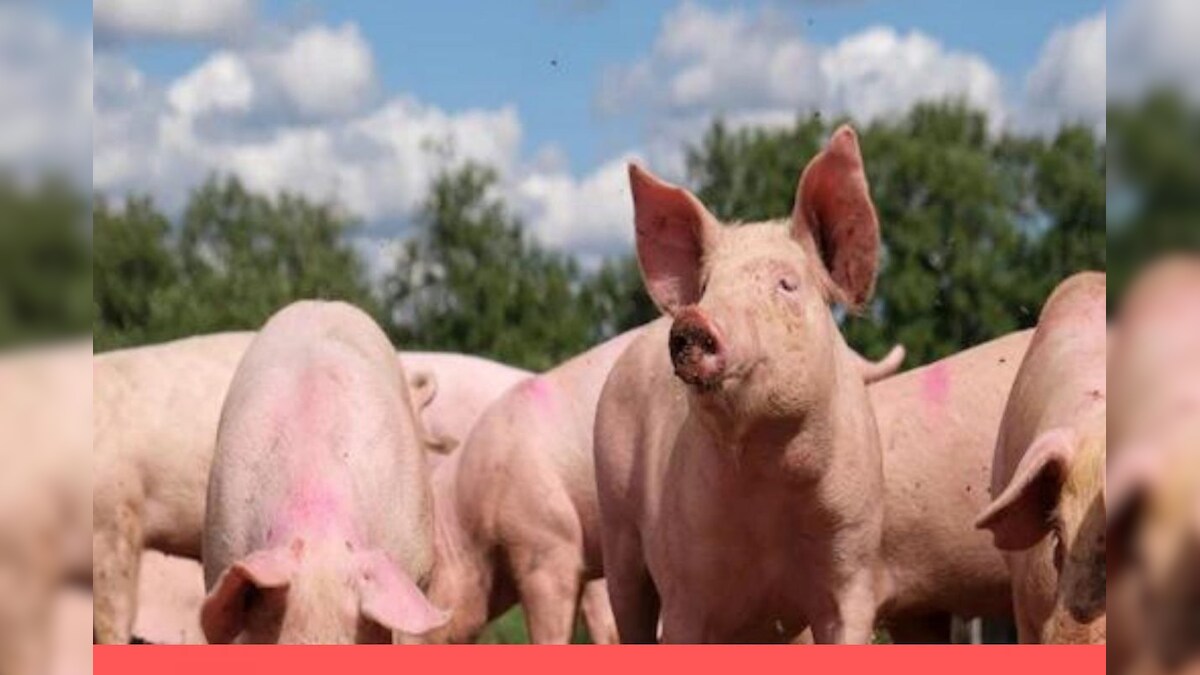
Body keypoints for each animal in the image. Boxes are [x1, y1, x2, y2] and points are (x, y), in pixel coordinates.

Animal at [594, 126, 887, 643]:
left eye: (786, 284)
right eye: (706, 287)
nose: (692, 321)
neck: (770, 479)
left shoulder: (853, 568)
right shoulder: (685, 585)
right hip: (617, 530)